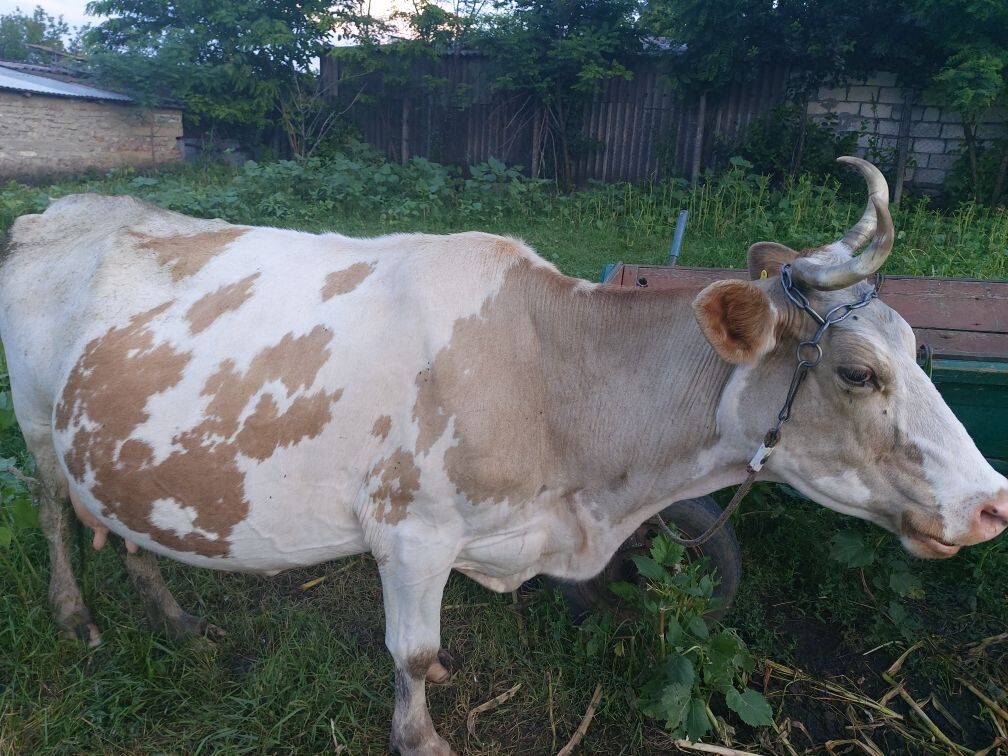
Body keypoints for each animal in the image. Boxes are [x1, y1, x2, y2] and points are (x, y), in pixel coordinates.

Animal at [0, 157, 1005, 755]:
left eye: (918, 346)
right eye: (857, 371)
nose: (992, 501)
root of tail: (63, 208)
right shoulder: (410, 534)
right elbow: (409, 655)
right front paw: (423, 733)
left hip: (112, 448)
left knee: (122, 523)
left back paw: (175, 619)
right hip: (38, 424)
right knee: (51, 514)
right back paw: (75, 616)